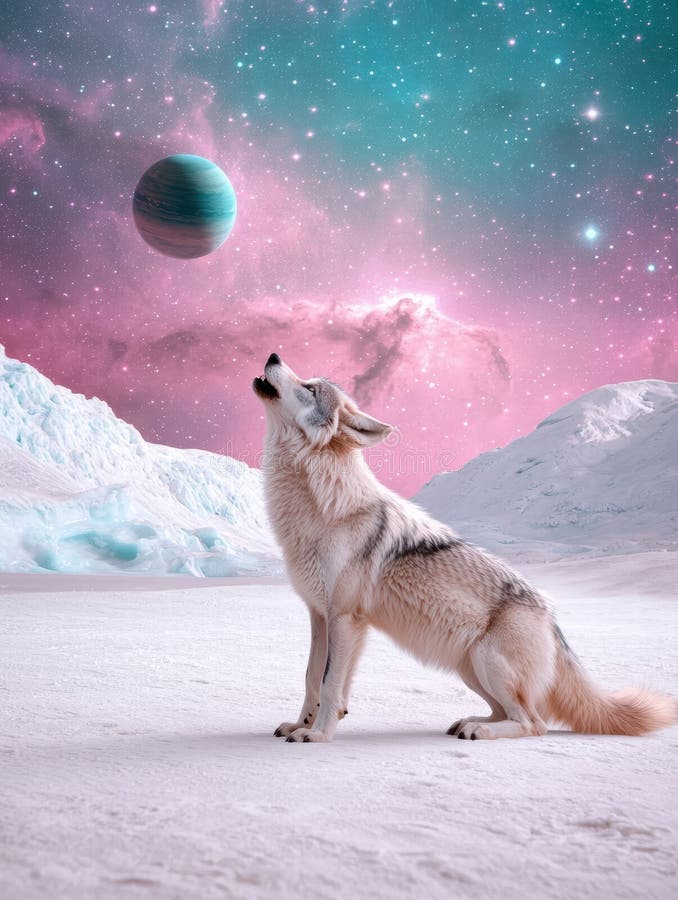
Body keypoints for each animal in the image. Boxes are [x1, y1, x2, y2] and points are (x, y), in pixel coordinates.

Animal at [253, 353, 676, 743]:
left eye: (309, 389)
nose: (272, 355)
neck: (320, 507)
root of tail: (552, 620)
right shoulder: (319, 615)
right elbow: (311, 678)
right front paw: (300, 724)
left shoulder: (345, 618)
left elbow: (329, 684)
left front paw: (319, 735)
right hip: (467, 666)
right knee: (507, 711)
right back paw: (467, 722)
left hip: (486, 661)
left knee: (533, 722)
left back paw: (480, 731)